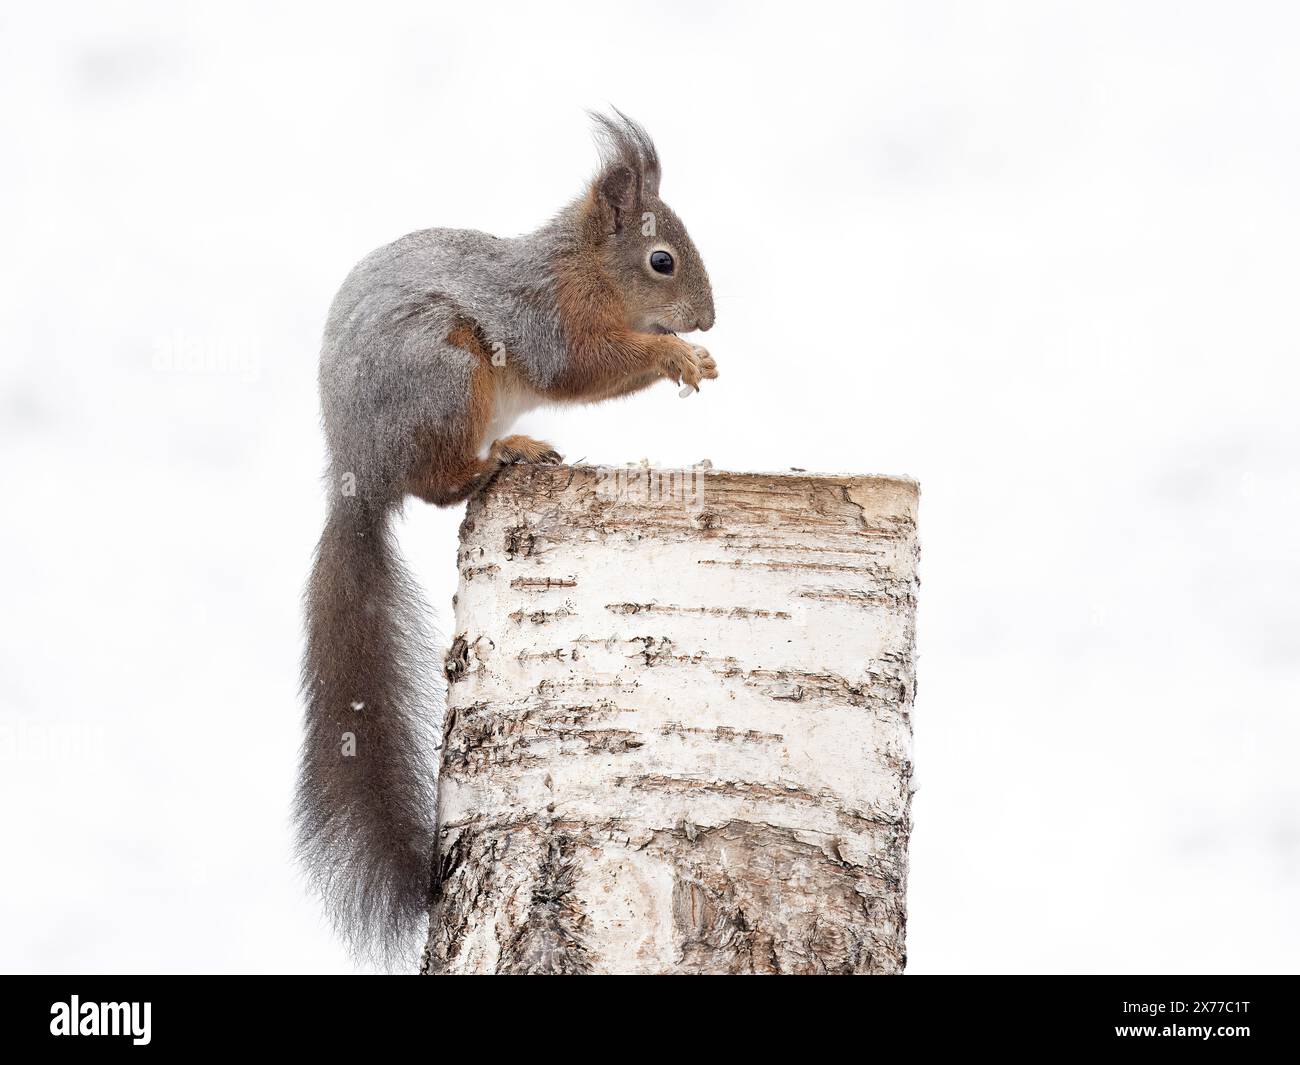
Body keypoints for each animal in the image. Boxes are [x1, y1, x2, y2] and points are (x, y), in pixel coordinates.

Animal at [296, 111, 717, 963]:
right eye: (661, 260)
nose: (708, 317)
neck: (578, 270)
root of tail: (359, 471)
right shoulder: (550, 323)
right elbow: (582, 368)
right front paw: (675, 353)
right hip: (449, 372)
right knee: (440, 484)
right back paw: (505, 455)